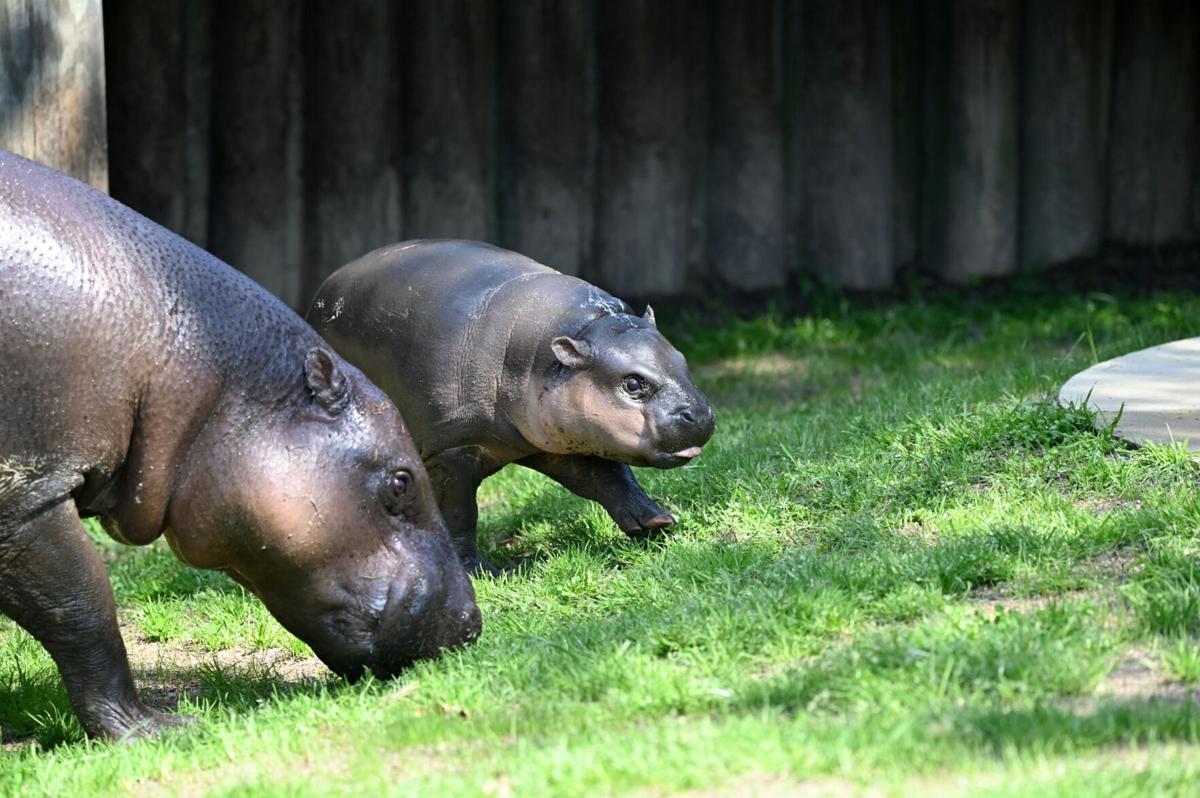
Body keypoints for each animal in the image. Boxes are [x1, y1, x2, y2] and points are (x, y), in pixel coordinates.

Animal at [0, 152, 480, 740]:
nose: (471, 623)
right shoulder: (25, 500)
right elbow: (82, 607)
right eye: (400, 482)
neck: (195, 371)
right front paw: (160, 728)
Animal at [307, 240, 715, 572]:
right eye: (633, 383)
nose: (700, 415)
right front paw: (480, 571)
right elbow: (461, 512)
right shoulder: (453, 451)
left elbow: (606, 479)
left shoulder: (554, 438)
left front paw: (656, 521)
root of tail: (323, 289)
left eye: (681, 358)